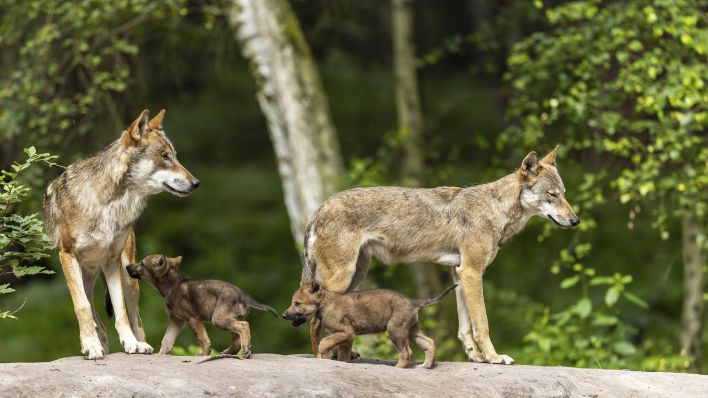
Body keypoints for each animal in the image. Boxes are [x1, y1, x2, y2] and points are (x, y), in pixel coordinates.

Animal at [43, 109, 199, 360]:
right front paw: (91, 346)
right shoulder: (67, 256)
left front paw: (131, 343)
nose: (196, 183)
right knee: (95, 315)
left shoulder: (111, 261)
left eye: (175, 156)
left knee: (136, 318)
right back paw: (99, 344)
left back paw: (140, 344)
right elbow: (82, 307)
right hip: (83, 277)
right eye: (164, 156)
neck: (110, 203)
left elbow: (121, 311)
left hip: (129, 277)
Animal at [302, 145, 580, 364]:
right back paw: (320, 357)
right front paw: (494, 358)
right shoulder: (472, 272)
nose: (576, 221)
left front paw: (476, 357)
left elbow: (465, 327)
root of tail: (318, 210)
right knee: (315, 320)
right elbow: (482, 324)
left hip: (356, 275)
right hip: (343, 276)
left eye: (565, 194)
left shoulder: (459, 274)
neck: (495, 210)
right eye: (552, 195)